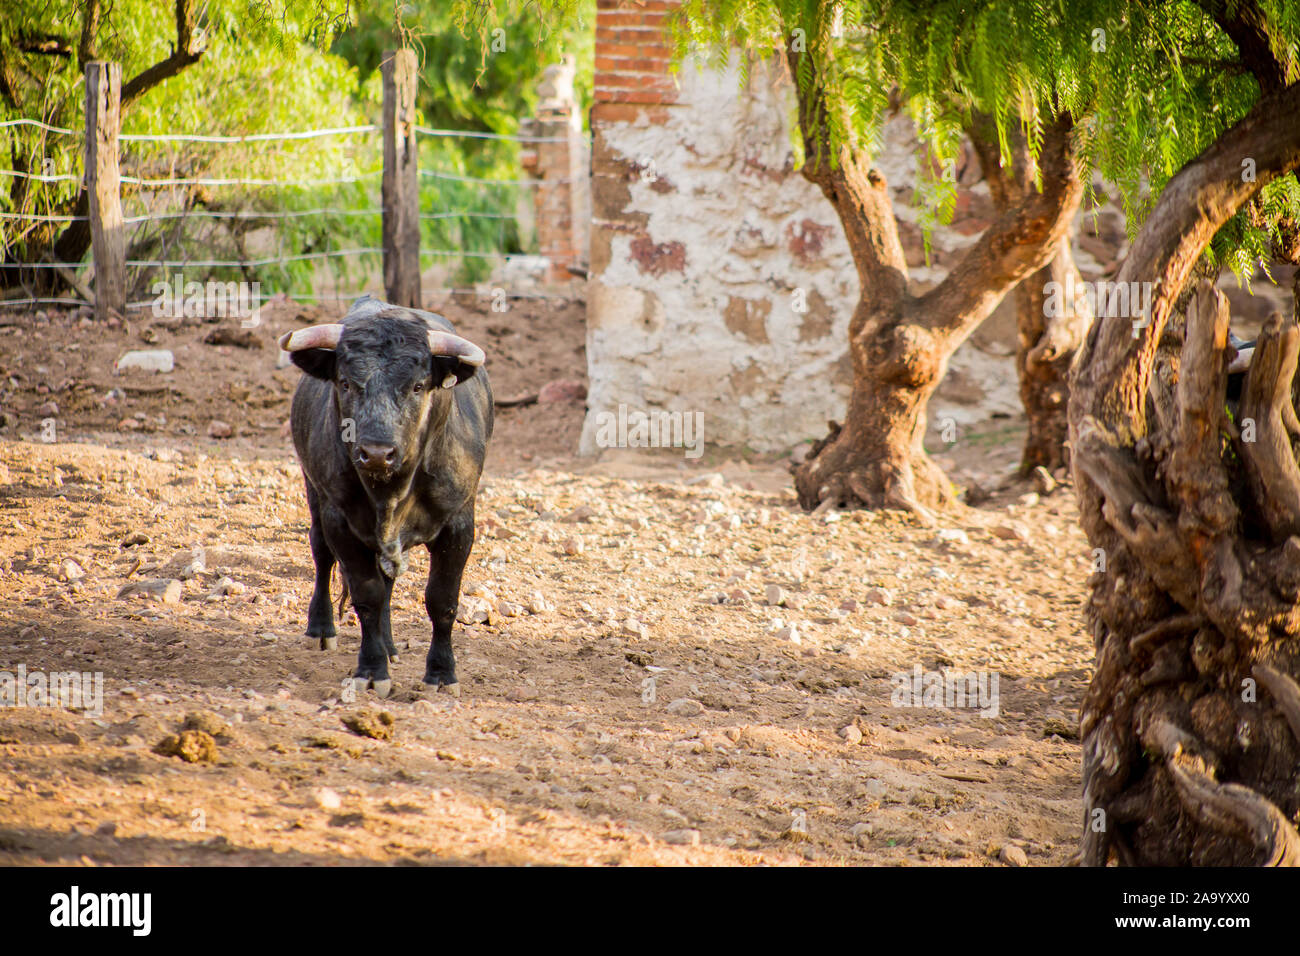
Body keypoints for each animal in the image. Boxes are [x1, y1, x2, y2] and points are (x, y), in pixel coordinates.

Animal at [278, 294, 492, 699]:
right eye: (346, 382)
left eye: (419, 386)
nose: (377, 452)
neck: (392, 491)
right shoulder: (340, 520)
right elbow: (367, 596)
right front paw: (372, 669)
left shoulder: (459, 523)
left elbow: (442, 600)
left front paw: (442, 674)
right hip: (314, 492)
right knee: (321, 553)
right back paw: (321, 629)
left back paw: (391, 645)